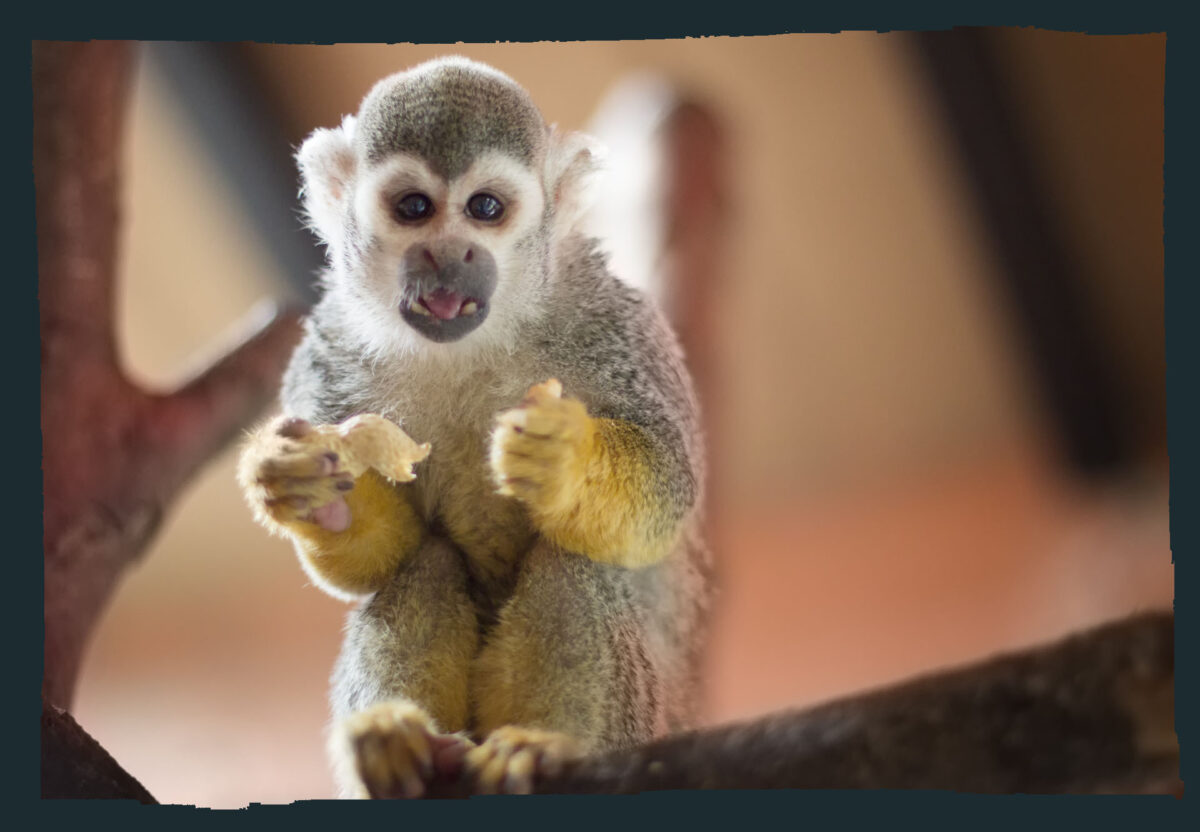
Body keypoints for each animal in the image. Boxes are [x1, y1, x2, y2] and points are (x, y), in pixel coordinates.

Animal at [237, 56, 711, 798]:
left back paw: (545, 747)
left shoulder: (613, 323)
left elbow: (662, 500)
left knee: (573, 562)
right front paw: (309, 491)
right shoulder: (325, 360)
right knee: (425, 563)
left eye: (485, 209)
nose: (448, 254)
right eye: (414, 208)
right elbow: (380, 557)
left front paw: (566, 461)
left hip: (645, 723)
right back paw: (398, 744)